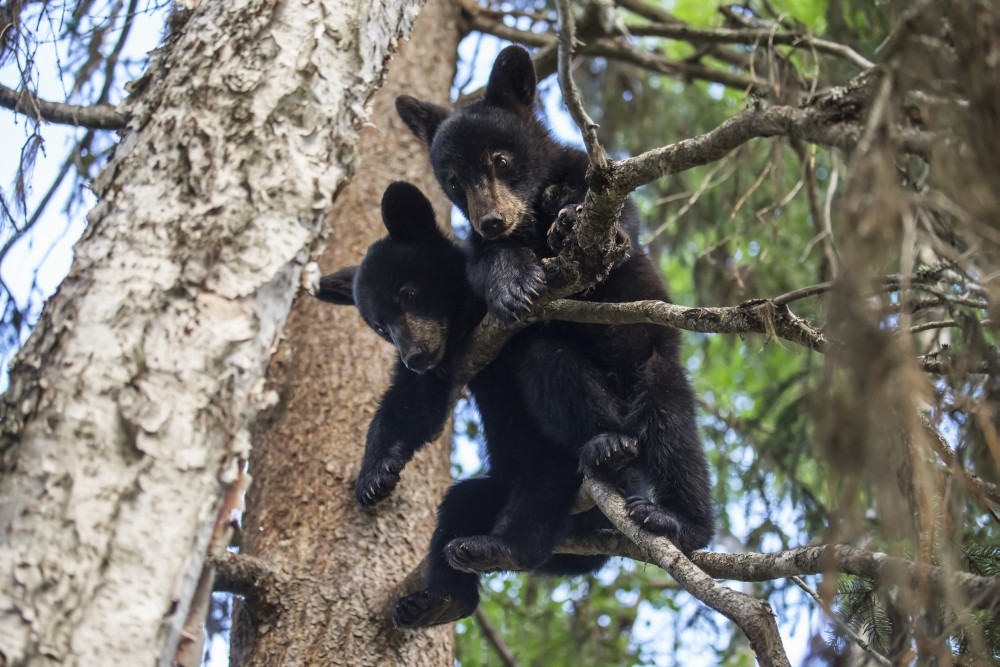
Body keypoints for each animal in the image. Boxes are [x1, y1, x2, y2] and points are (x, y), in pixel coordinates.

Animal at [318, 181, 630, 628]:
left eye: (408, 294)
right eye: (380, 326)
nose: (414, 356)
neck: (463, 321)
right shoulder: (447, 360)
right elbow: (412, 406)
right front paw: (375, 475)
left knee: (544, 488)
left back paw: (509, 547)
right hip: (493, 492)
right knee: (459, 505)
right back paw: (440, 600)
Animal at [396, 44, 715, 553]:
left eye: (500, 160)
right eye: (453, 180)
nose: (491, 220)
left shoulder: (593, 179)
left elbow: (619, 227)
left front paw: (567, 217)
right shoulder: (479, 247)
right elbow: (484, 266)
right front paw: (512, 283)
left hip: (653, 366)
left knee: (673, 425)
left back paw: (679, 519)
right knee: (552, 368)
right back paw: (606, 447)